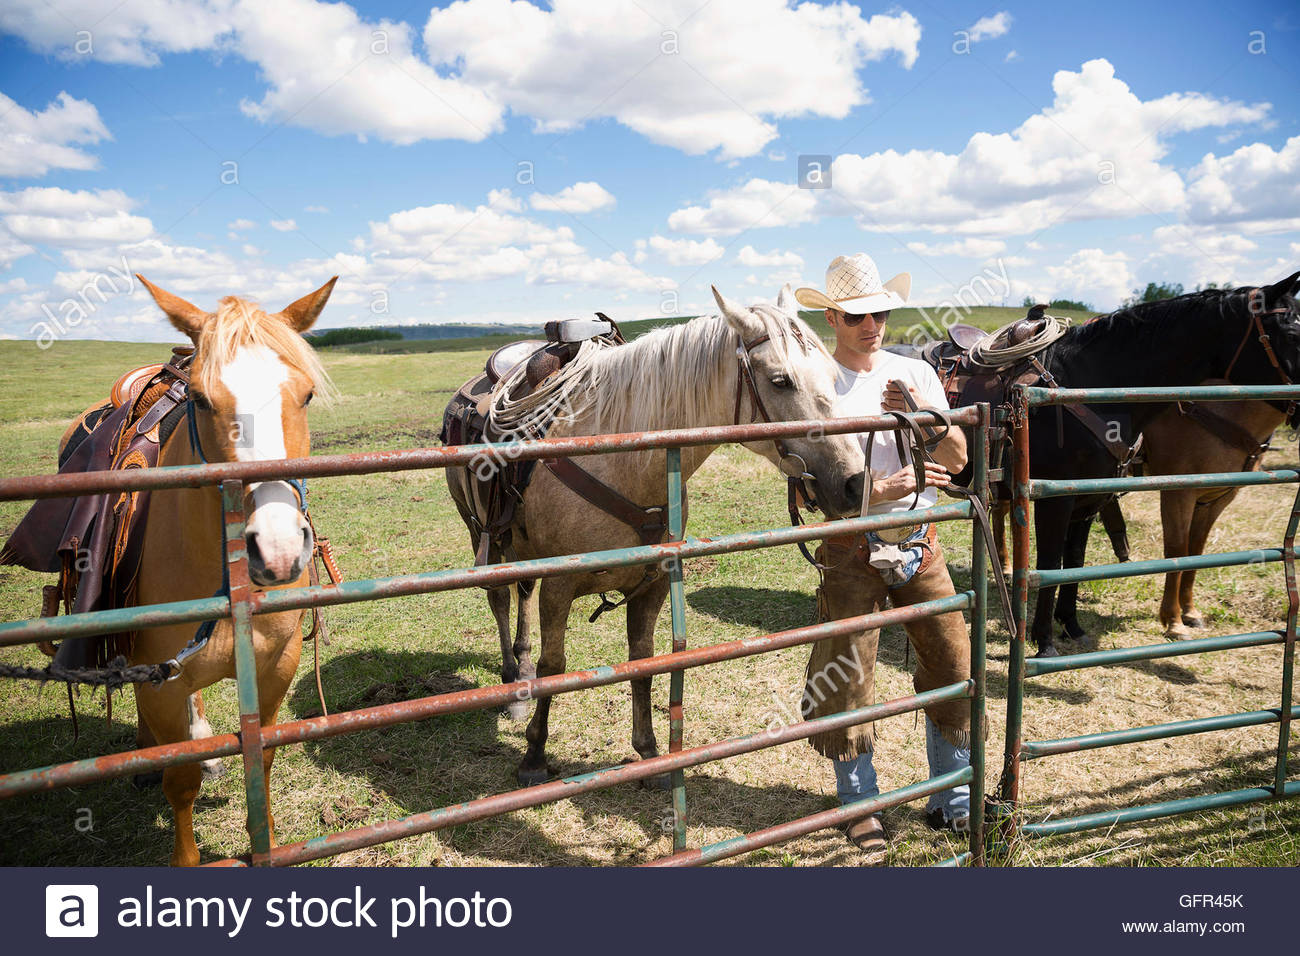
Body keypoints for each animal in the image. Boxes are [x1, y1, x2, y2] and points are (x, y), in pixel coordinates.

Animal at [125, 276, 334, 865]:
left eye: (306, 395)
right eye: (200, 399)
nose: (278, 549)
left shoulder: (276, 669)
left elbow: (262, 756)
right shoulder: (159, 687)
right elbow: (180, 783)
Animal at [445, 286, 867, 787]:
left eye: (833, 375)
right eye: (781, 380)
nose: (854, 482)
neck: (623, 461)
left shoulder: (652, 584)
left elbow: (643, 662)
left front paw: (649, 752)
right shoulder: (560, 585)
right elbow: (556, 666)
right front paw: (533, 756)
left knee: (521, 595)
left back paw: (521, 667)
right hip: (482, 534)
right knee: (500, 599)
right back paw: (514, 684)